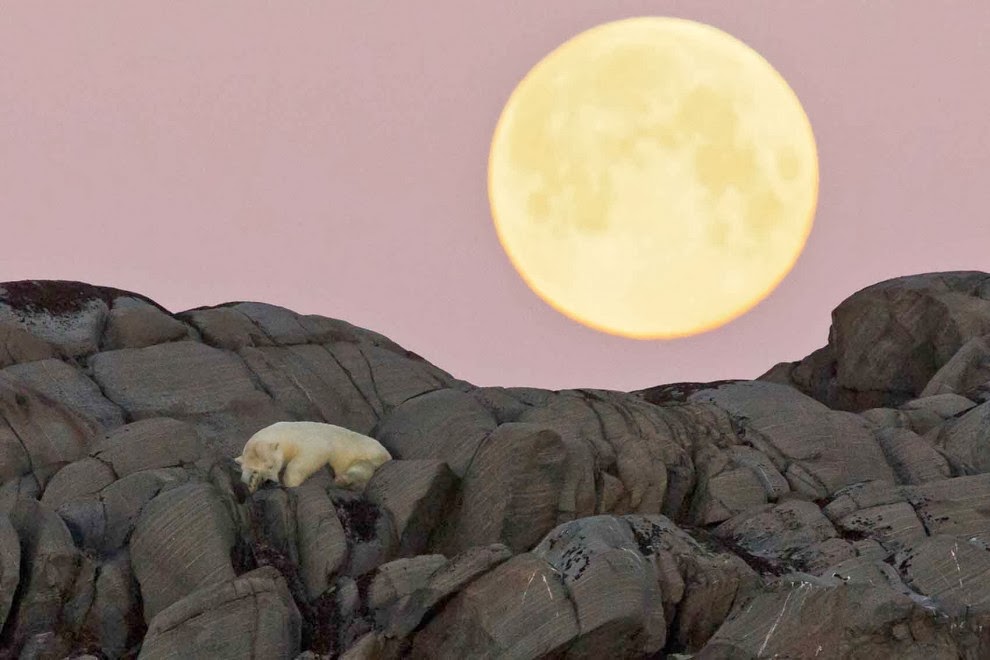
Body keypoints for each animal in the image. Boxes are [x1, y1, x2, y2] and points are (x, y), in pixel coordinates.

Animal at [234, 421, 392, 493]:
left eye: (270, 465)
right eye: (254, 470)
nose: (272, 482)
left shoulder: (310, 440)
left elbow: (310, 456)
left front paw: (290, 483)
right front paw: (253, 482)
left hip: (369, 454)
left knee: (361, 468)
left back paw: (343, 481)